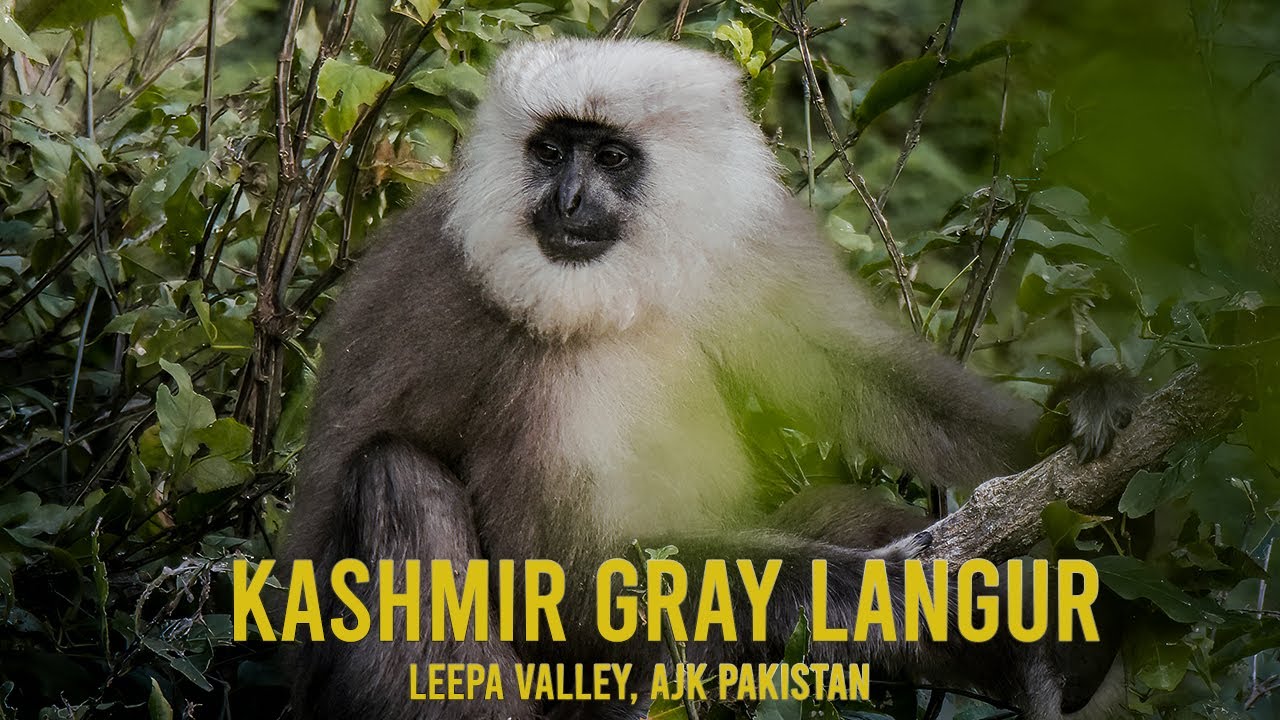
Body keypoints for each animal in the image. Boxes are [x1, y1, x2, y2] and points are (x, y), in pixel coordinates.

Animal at [284, 38, 1140, 720]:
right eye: (552, 152)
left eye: (612, 158)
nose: (568, 199)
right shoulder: (531, 350)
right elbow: (563, 573)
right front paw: (895, 591)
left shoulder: (746, 238)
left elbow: (859, 371)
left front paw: (1079, 426)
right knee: (397, 479)